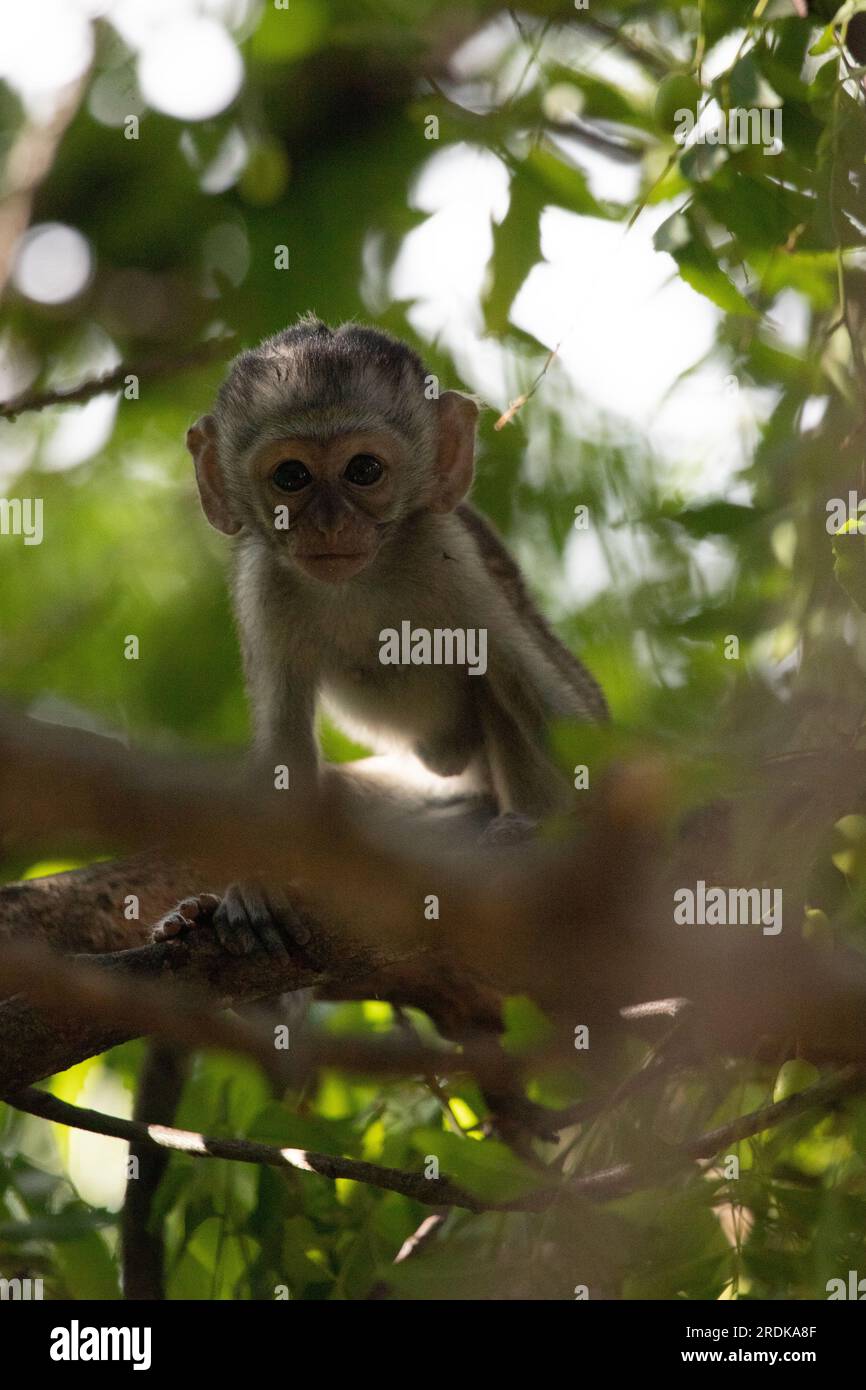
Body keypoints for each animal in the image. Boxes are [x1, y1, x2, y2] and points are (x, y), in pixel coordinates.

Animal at [153, 315, 607, 957]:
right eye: (291, 477)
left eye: (363, 470)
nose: (328, 524)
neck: (357, 586)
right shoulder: (264, 585)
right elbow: (285, 747)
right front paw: (252, 889)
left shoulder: (449, 556)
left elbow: (559, 709)